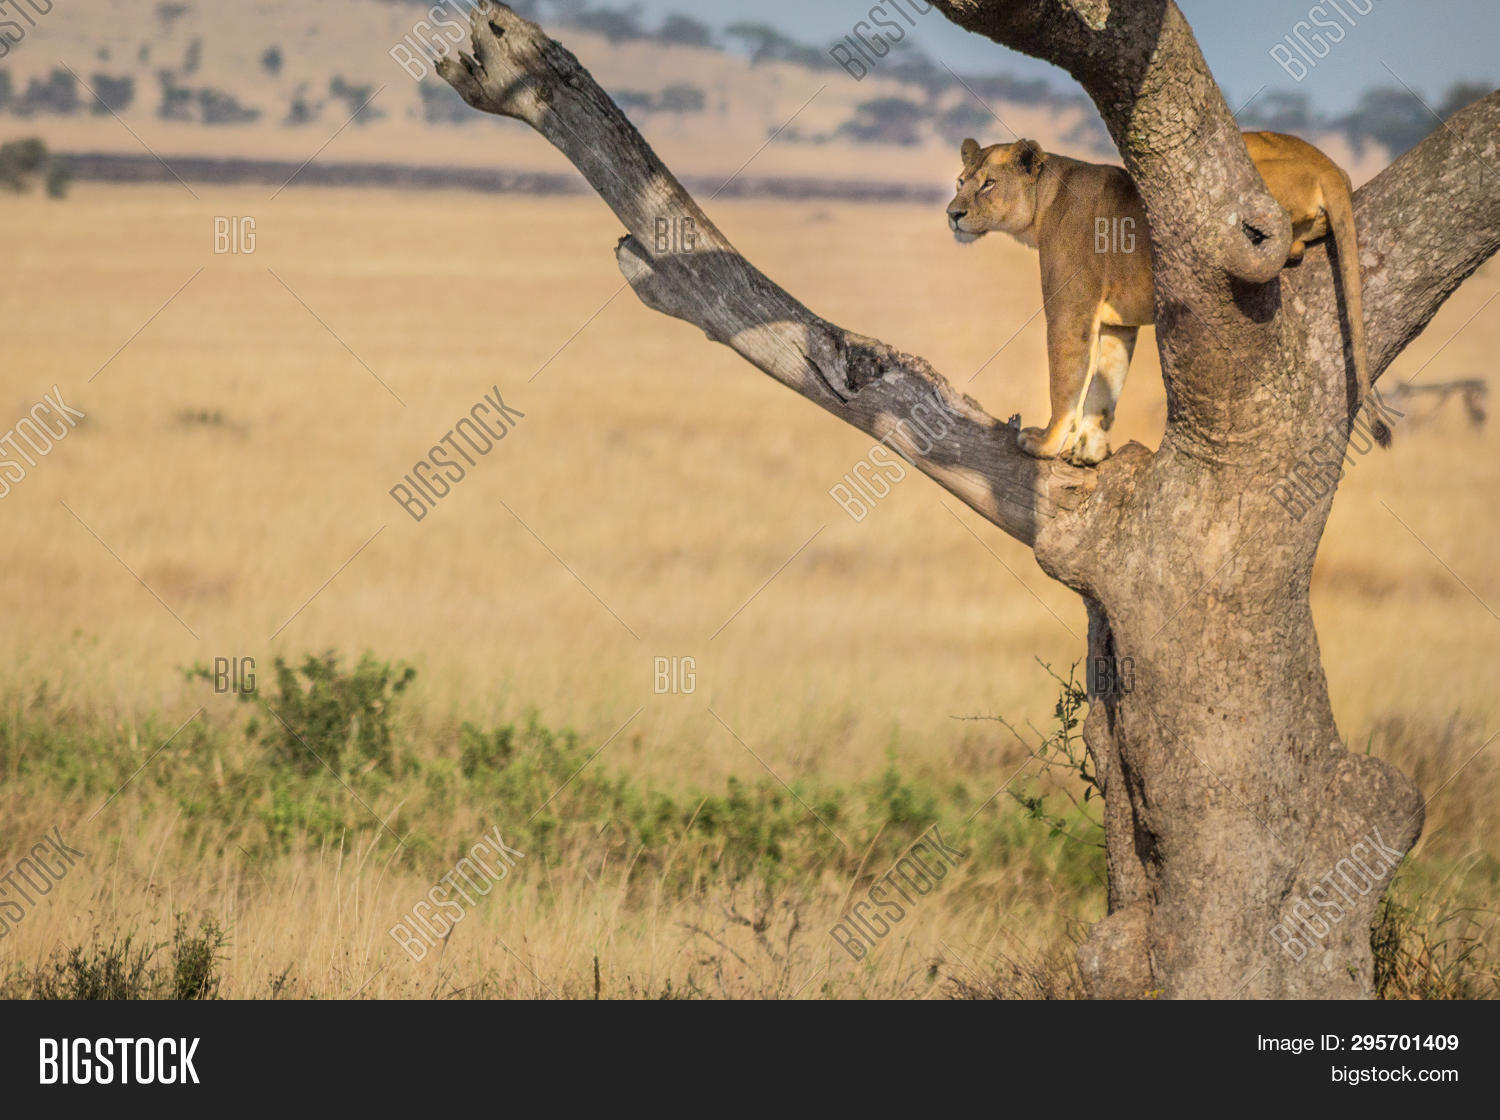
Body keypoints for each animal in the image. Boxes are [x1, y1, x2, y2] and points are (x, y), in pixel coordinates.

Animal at [948, 132, 1386, 465]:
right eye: (960, 182)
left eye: (988, 184)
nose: (953, 214)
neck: (1043, 204)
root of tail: (1327, 165)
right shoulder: (1118, 324)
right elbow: (1105, 388)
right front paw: (1089, 450)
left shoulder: (1070, 310)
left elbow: (1065, 379)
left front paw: (1045, 443)